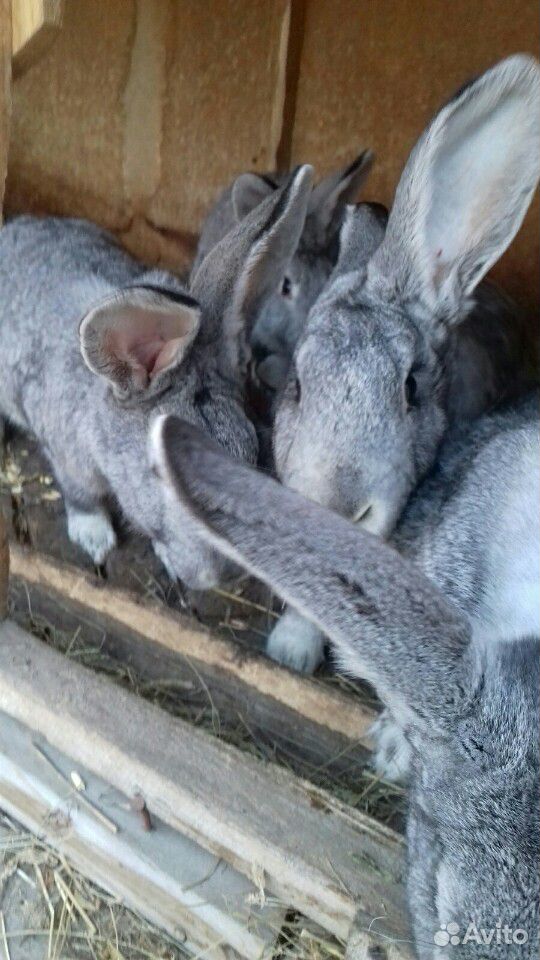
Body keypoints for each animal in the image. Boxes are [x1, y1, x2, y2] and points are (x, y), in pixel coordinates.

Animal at [0, 165, 313, 589]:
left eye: (251, 445)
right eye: (159, 474)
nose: (222, 576)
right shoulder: (64, 456)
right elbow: (81, 497)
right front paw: (95, 539)